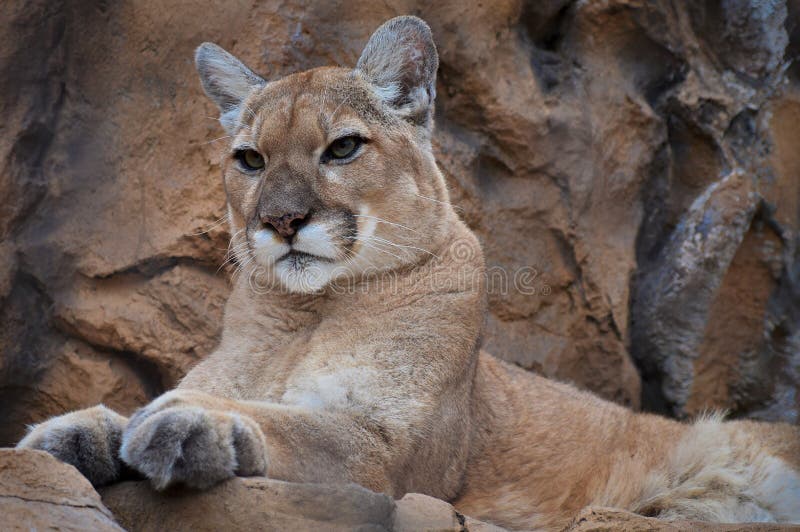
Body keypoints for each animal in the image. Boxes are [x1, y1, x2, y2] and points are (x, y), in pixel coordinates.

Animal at [17, 16, 800, 530]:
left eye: (342, 148)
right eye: (250, 160)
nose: (281, 221)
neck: (310, 312)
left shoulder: (390, 450)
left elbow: (301, 426)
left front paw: (190, 422)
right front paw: (74, 431)